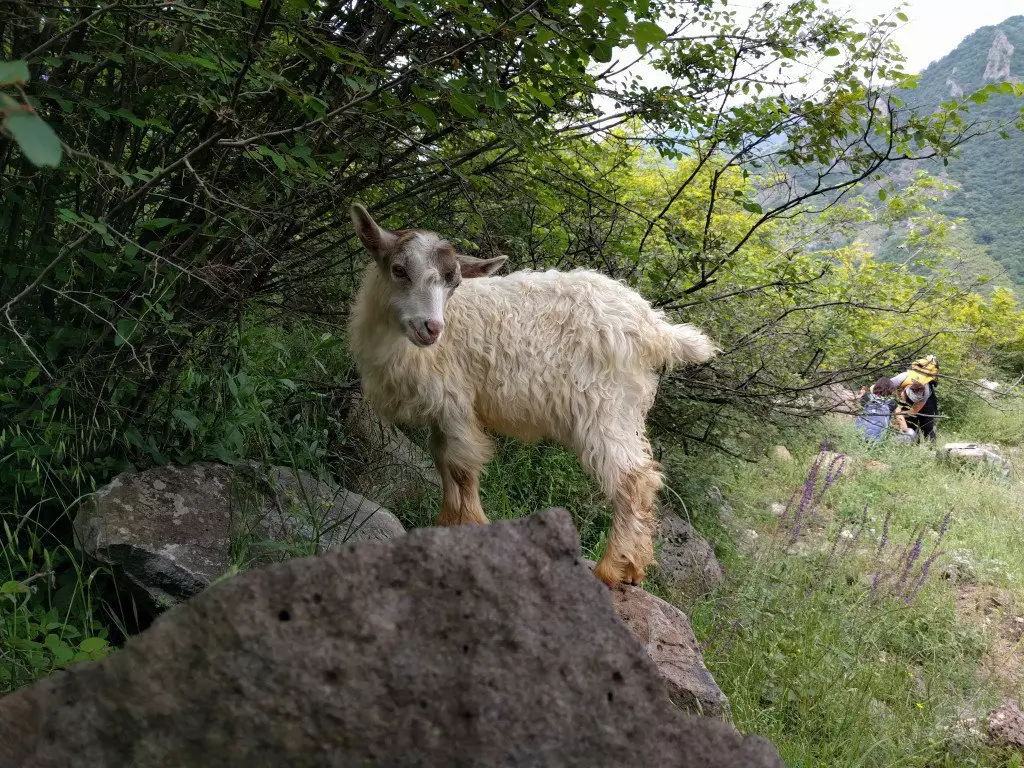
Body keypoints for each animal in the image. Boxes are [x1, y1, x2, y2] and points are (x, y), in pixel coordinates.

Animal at [348, 201, 716, 585]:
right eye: (398, 270)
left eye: (454, 283)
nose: (431, 328)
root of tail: (654, 328)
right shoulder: (442, 409)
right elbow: (440, 458)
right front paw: (445, 522)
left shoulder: (455, 400)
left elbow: (461, 466)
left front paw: (471, 525)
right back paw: (634, 567)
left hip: (606, 406)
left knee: (633, 479)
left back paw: (613, 566)